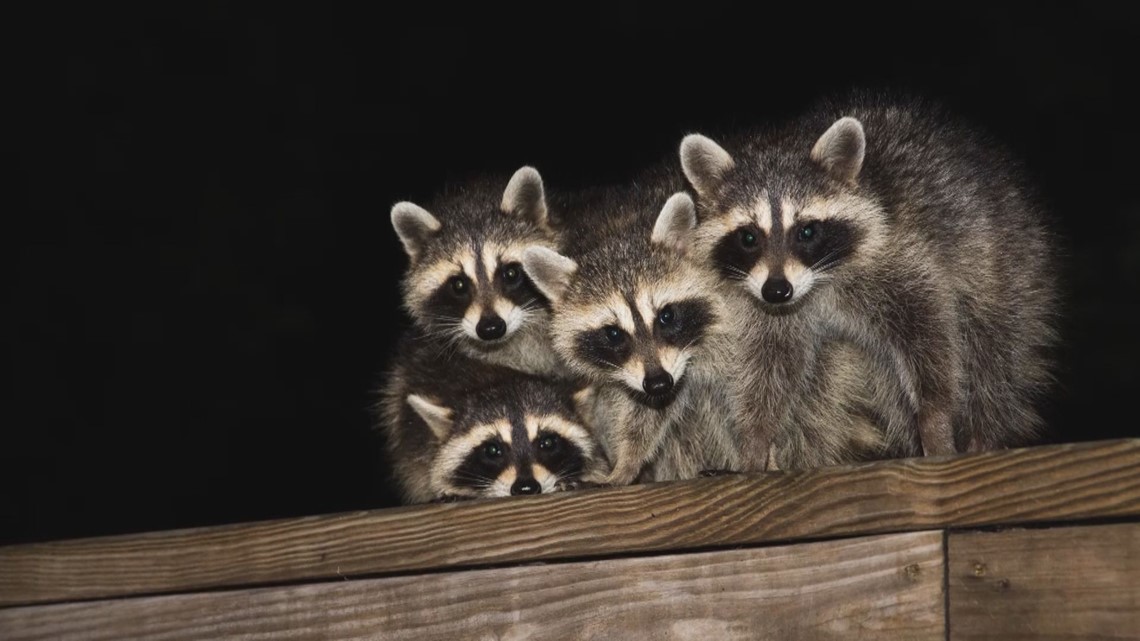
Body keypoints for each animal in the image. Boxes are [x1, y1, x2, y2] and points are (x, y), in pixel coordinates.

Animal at [523, 167, 742, 485]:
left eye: (666, 316)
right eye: (613, 334)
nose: (659, 382)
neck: (617, 231)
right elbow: (644, 411)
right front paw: (626, 463)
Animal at [678, 93, 1058, 468]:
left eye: (807, 231)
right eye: (748, 237)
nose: (777, 290)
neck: (818, 283)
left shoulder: (897, 254)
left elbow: (928, 330)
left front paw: (934, 413)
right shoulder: (771, 307)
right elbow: (772, 364)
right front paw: (757, 437)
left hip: (1004, 260)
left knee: (993, 349)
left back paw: (984, 428)